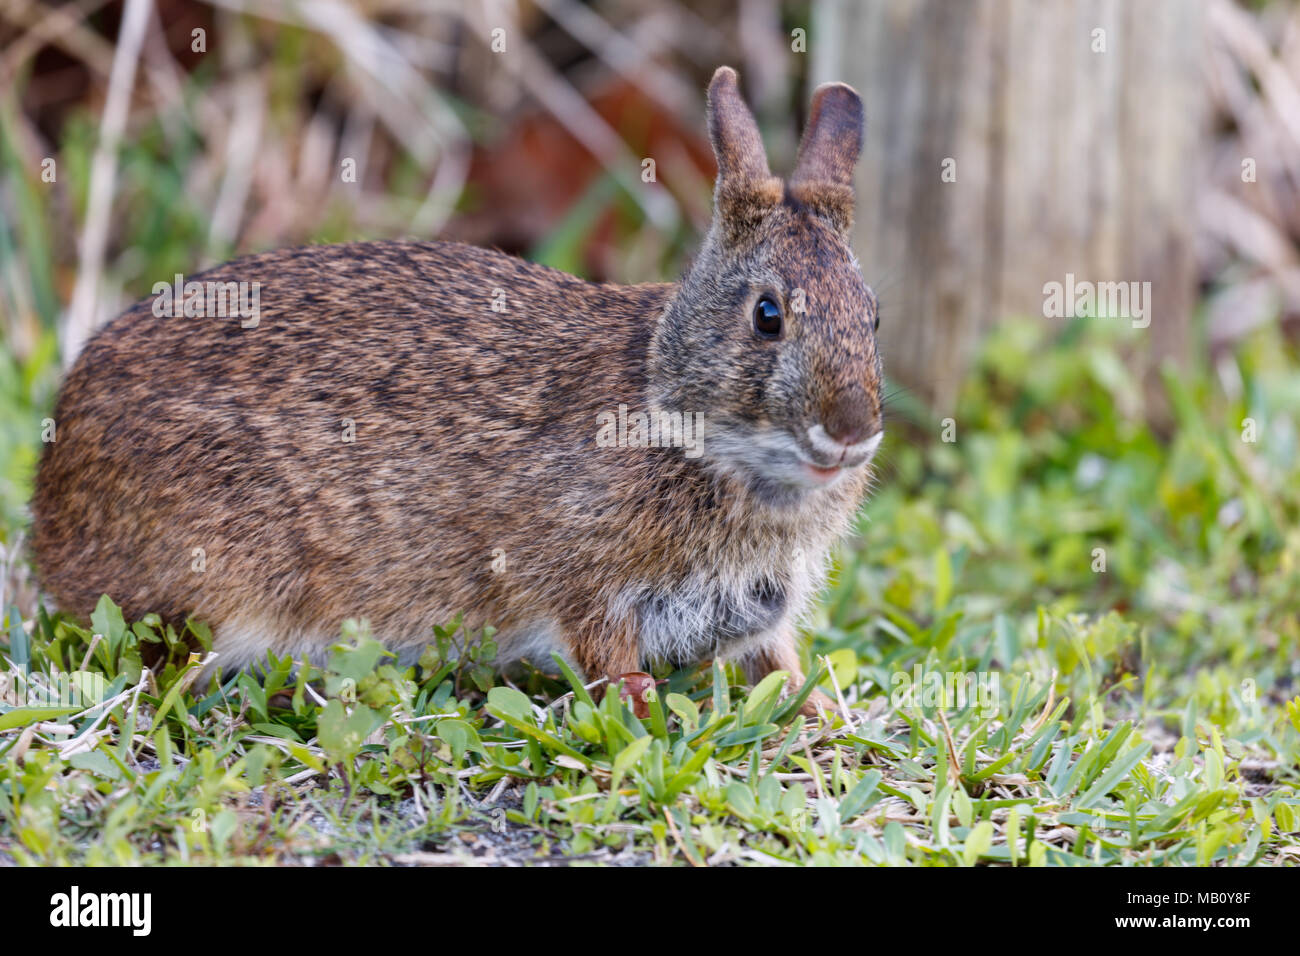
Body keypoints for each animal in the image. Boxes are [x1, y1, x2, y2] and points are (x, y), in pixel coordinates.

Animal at [31, 66, 883, 716]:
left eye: (872, 315)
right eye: (767, 317)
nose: (851, 432)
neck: (677, 411)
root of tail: (52, 494)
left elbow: (777, 663)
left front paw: (817, 709)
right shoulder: (590, 581)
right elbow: (605, 652)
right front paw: (643, 709)